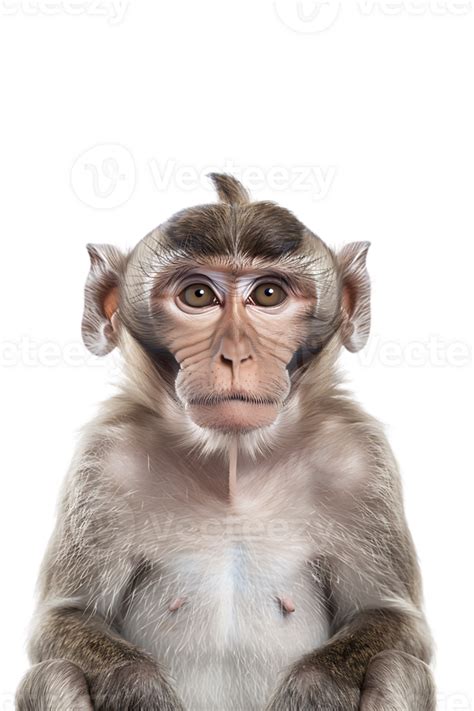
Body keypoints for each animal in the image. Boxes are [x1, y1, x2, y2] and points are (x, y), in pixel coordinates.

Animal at [16, 173, 435, 711]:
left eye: (269, 293)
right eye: (197, 295)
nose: (235, 354)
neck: (234, 463)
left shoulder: (359, 461)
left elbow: (393, 619)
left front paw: (316, 687)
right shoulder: (105, 465)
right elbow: (65, 618)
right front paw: (138, 687)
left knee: (396, 666)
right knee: (55, 673)